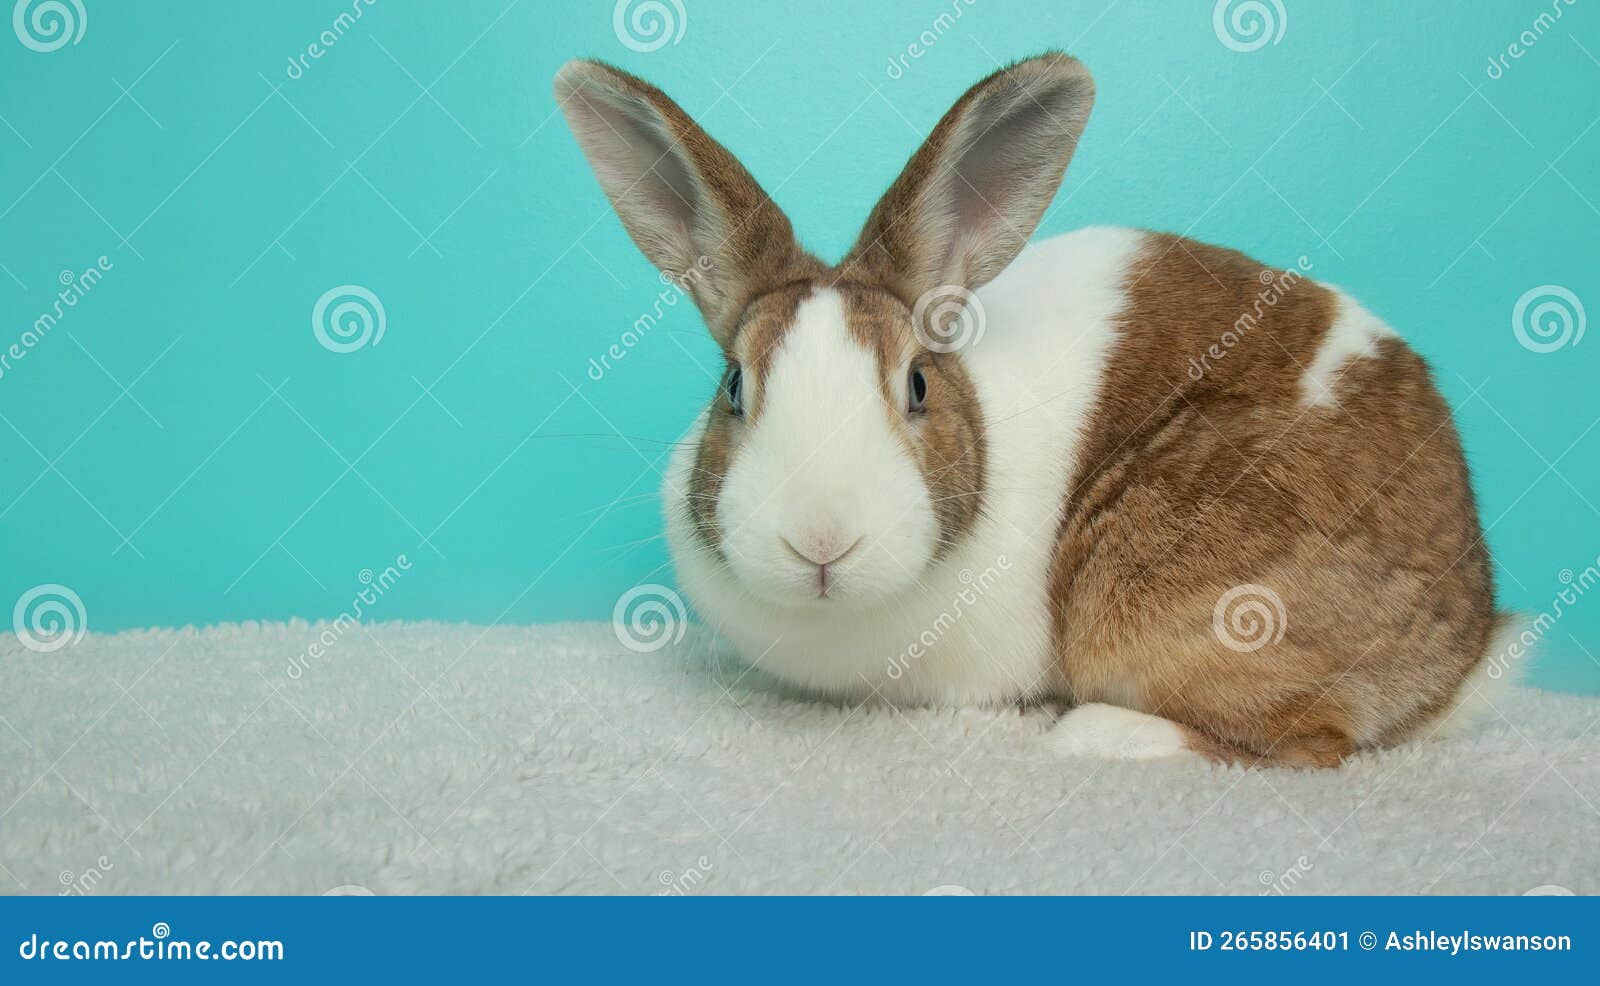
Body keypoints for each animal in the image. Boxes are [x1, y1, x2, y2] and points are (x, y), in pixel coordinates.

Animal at [554, 51, 1515, 768]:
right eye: (734, 387)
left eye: (917, 385)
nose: (821, 540)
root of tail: (1462, 652)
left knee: (1314, 742)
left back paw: (1099, 735)